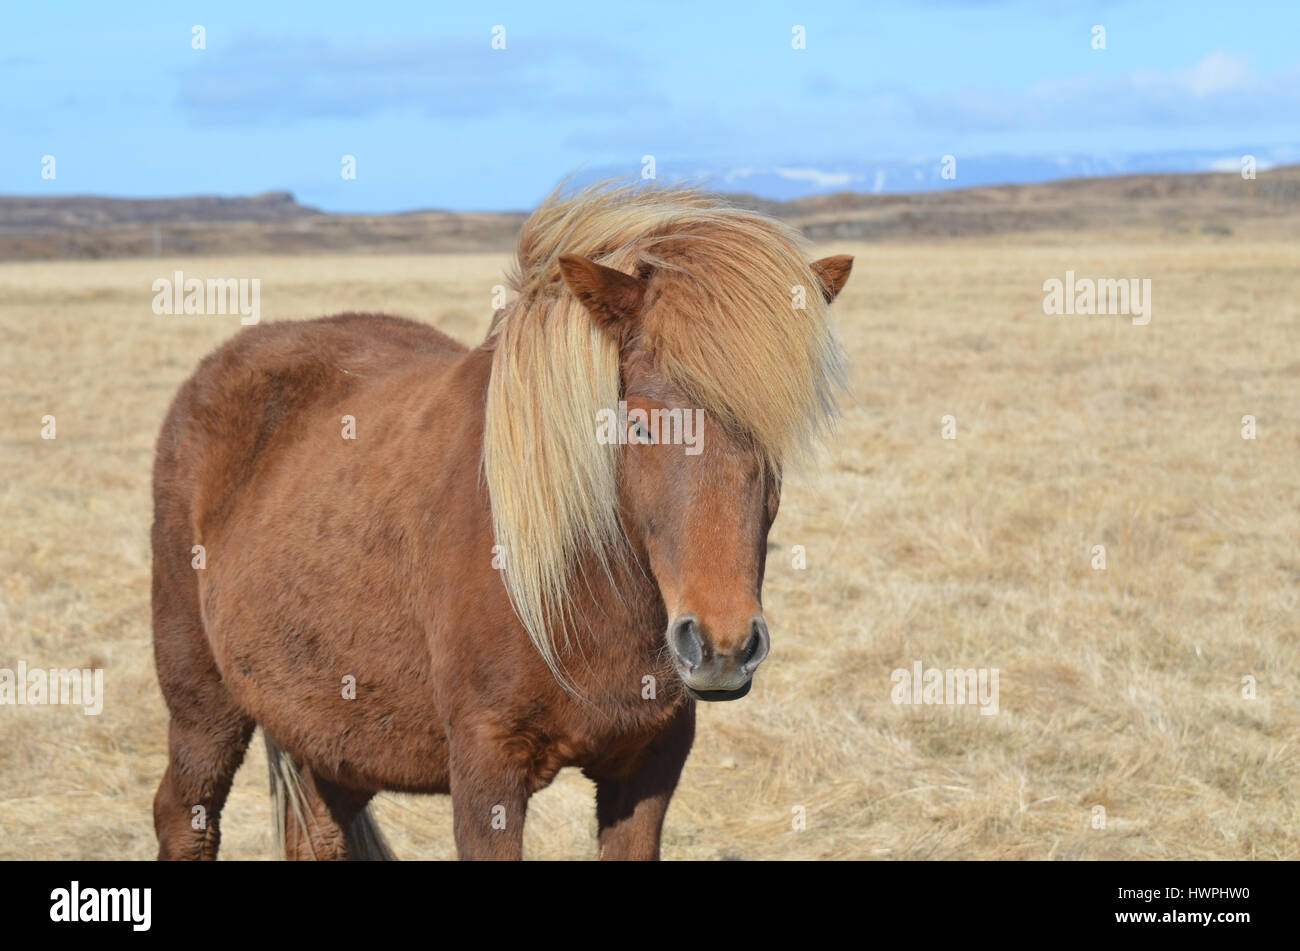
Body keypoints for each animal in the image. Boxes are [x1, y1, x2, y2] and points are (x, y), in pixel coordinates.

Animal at [150, 182, 853, 860]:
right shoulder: (486, 771)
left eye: (773, 435)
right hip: (204, 704)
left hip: (332, 730)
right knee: (184, 817)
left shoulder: (648, 768)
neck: (578, 584)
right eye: (639, 424)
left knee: (316, 833)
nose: (722, 649)